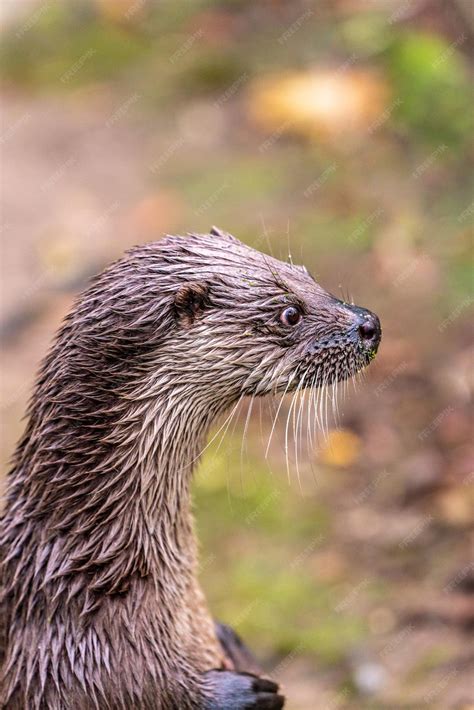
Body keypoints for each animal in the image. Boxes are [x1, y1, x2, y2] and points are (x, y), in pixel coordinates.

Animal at [1, 228, 381, 709]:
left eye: (308, 275)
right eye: (290, 313)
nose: (369, 323)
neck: (90, 576)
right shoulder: (67, 668)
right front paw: (238, 694)